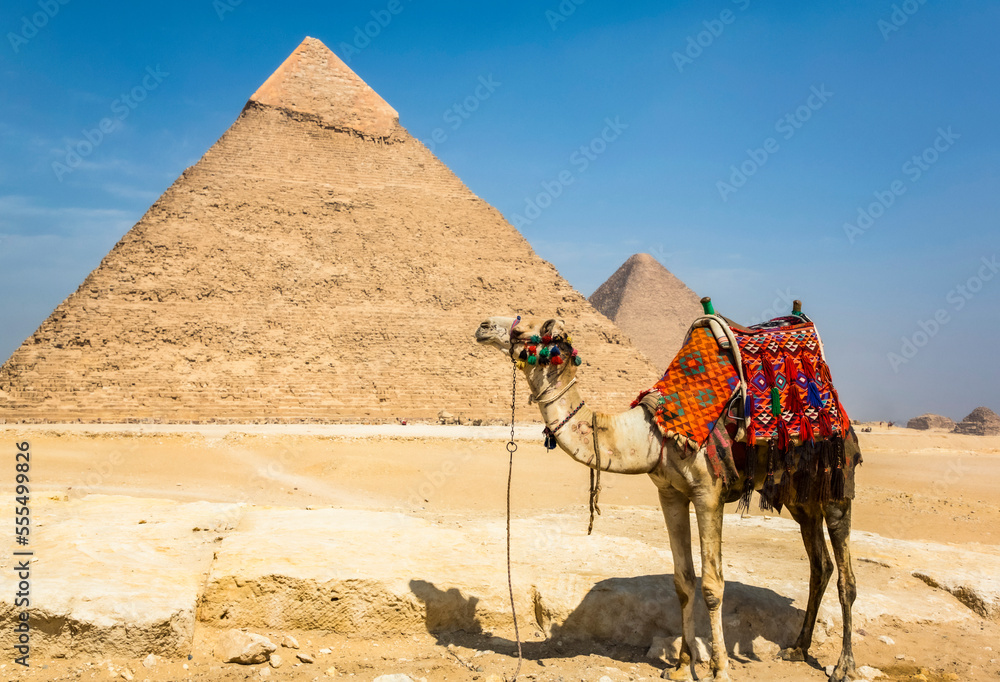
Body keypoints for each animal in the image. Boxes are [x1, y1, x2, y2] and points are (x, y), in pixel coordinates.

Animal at [475, 315, 859, 682]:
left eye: (524, 329)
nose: (482, 327)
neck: (651, 433)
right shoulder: (669, 494)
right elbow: (684, 581)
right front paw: (681, 665)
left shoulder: (708, 493)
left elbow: (712, 585)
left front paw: (720, 670)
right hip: (799, 495)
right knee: (820, 565)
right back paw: (797, 648)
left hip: (837, 482)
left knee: (846, 578)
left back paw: (843, 666)